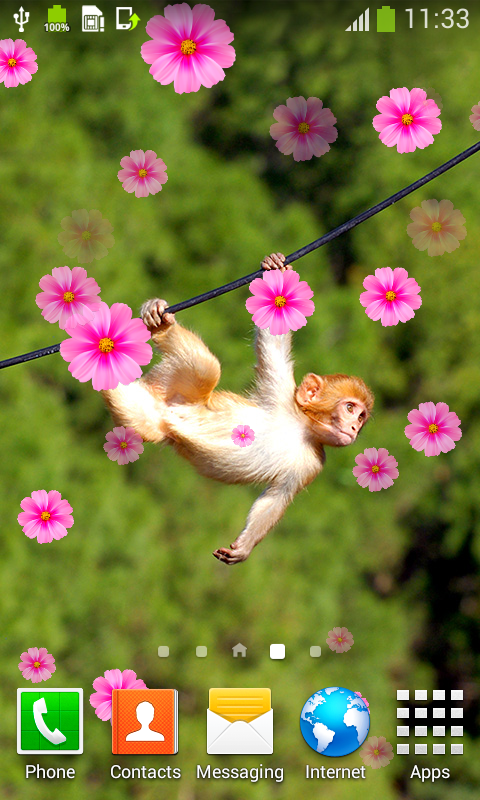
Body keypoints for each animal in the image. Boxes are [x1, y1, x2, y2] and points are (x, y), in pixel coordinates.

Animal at [102, 253, 374, 564]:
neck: (302, 427)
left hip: (149, 414)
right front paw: (277, 268)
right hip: (175, 385)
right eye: (350, 408)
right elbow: (273, 336)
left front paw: (243, 548)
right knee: (206, 366)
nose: (354, 427)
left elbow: (276, 498)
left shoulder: (314, 463)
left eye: (361, 416)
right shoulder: (279, 392)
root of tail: (167, 410)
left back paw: (103, 374)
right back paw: (159, 327)